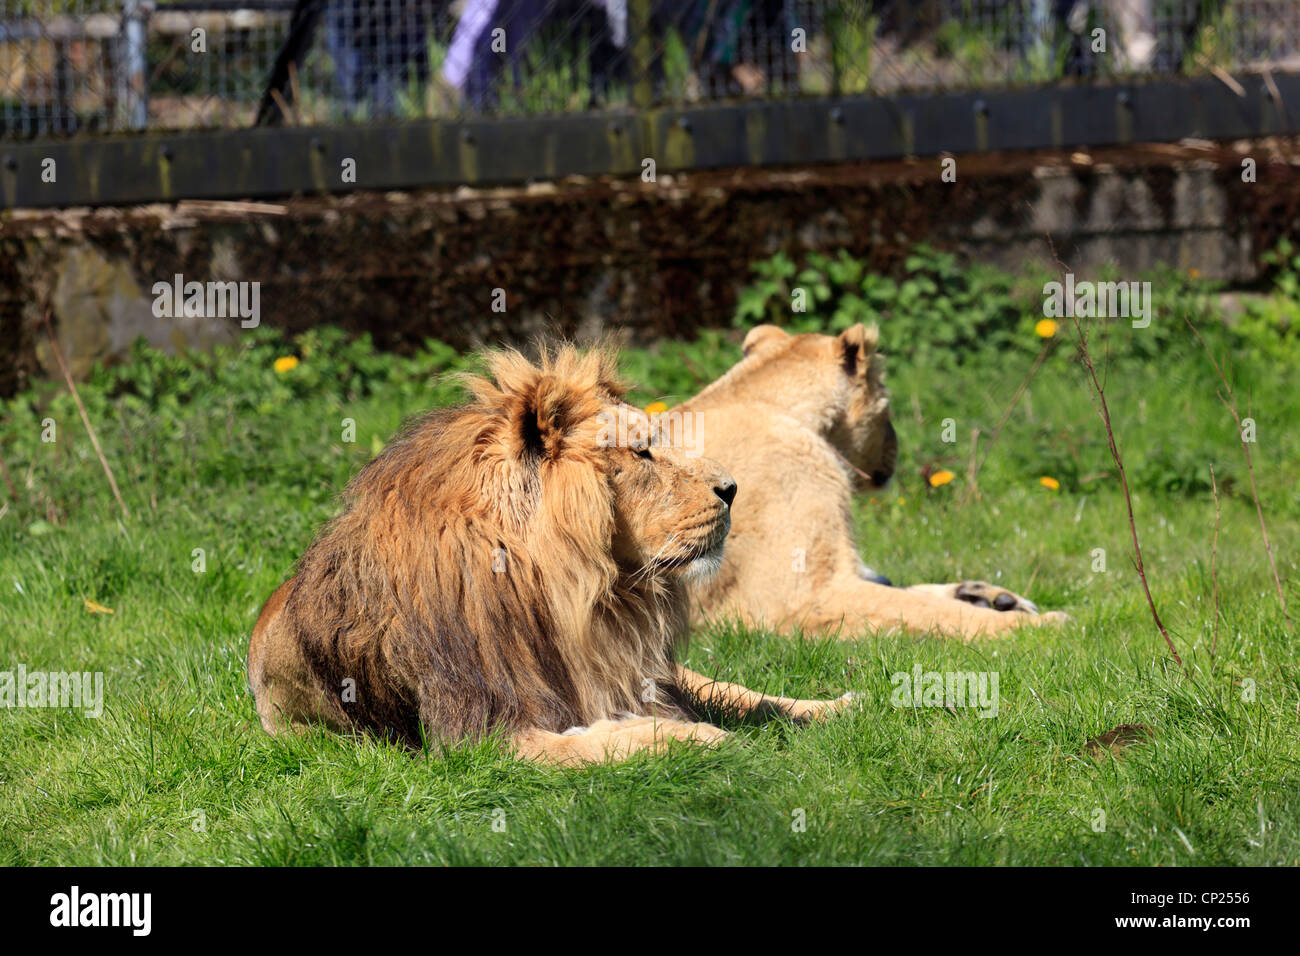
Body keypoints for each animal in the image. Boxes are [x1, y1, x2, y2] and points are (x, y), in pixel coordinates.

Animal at [247, 345, 855, 765]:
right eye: (642, 453)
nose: (732, 489)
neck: (583, 594)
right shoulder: (481, 736)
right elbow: (599, 742)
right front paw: (696, 738)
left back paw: (839, 706)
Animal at [665, 324, 1067, 640]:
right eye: (887, 408)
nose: (896, 443)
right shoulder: (796, 598)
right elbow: (916, 607)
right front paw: (1044, 625)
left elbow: (905, 589)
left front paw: (995, 598)